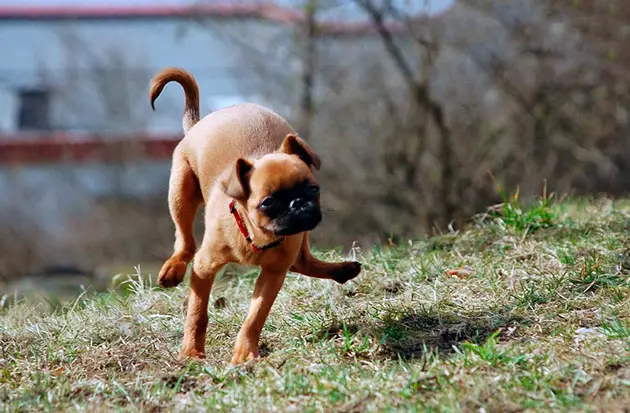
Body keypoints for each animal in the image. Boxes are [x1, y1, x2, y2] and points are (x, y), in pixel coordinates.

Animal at [150, 67, 362, 364]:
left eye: (313, 188)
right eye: (268, 203)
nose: (298, 203)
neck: (258, 237)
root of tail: (198, 122)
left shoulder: (272, 274)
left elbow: (254, 317)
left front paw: (244, 353)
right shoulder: (204, 268)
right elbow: (197, 313)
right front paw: (192, 351)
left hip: (300, 237)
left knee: (302, 262)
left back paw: (342, 270)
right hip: (180, 193)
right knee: (185, 241)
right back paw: (173, 268)